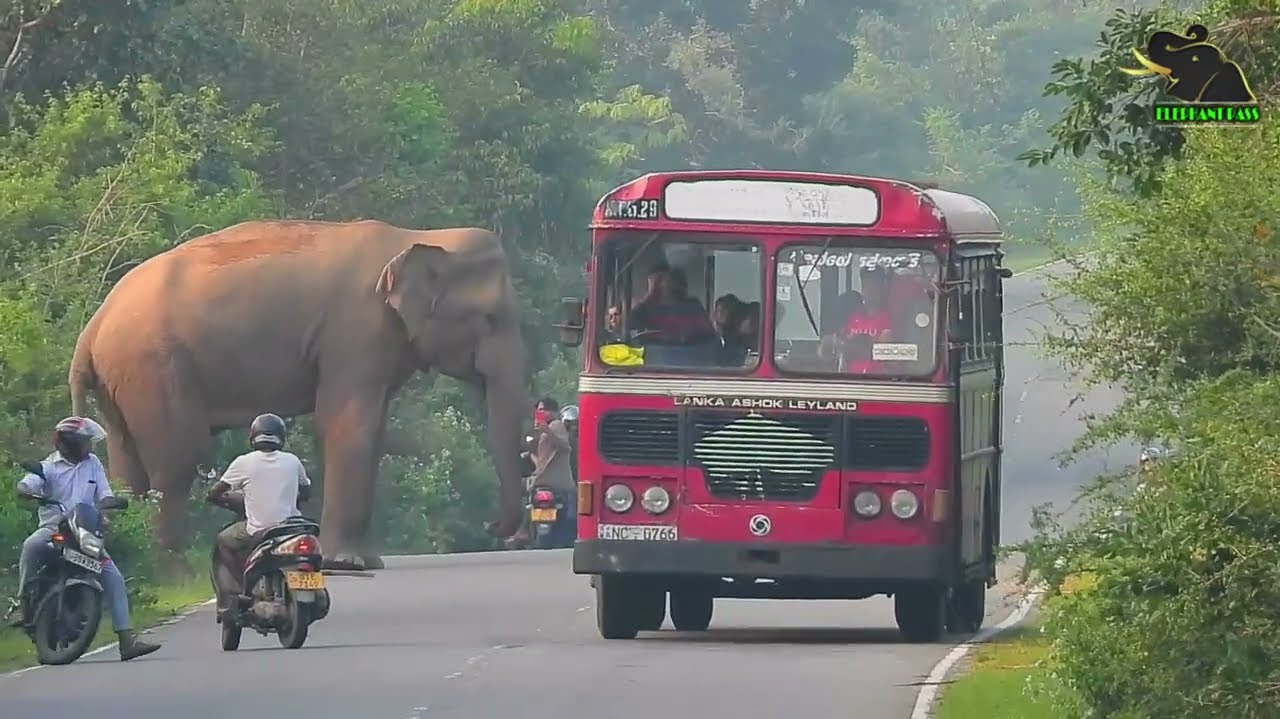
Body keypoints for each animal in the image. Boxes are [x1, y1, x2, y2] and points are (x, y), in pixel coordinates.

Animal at [68, 220, 530, 572]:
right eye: (491, 318)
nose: (491, 528)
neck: (414, 237)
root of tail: (91, 329)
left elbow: (374, 431)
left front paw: (367, 562)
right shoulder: (355, 333)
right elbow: (349, 428)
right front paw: (347, 564)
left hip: (122, 380)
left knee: (127, 466)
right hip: (153, 368)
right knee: (177, 460)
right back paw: (176, 574)